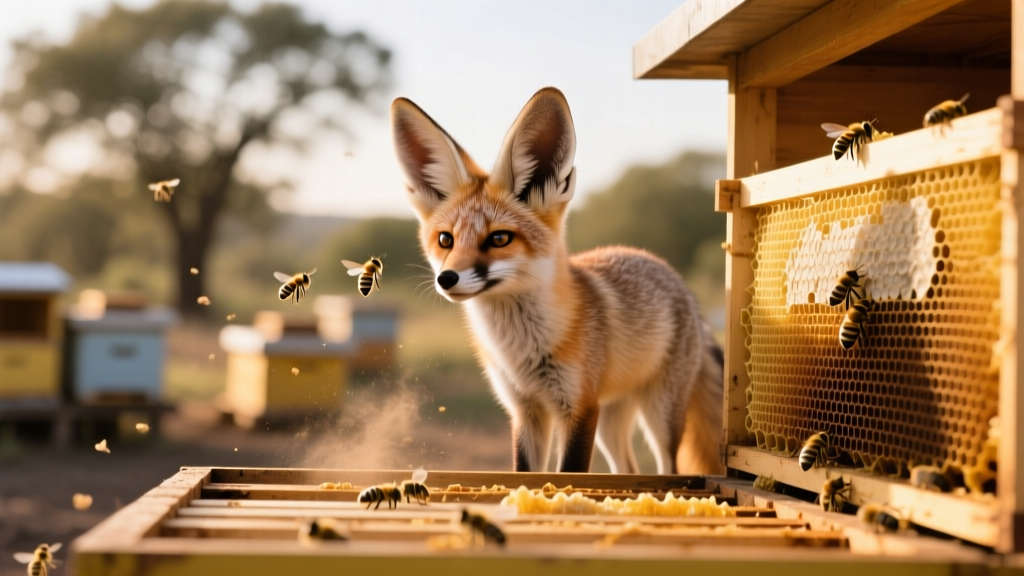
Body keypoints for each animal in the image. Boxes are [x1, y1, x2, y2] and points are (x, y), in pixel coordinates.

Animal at [391, 87, 724, 475]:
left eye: (499, 239)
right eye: (446, 240)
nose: (446, 278)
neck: (521, 349)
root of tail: (676, 278)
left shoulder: (579, 408)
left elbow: (570, 474)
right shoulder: (526, 411)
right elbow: (525, 473)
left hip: (659, 414)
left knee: (668, 469)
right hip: (612, 418)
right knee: (628, 471)